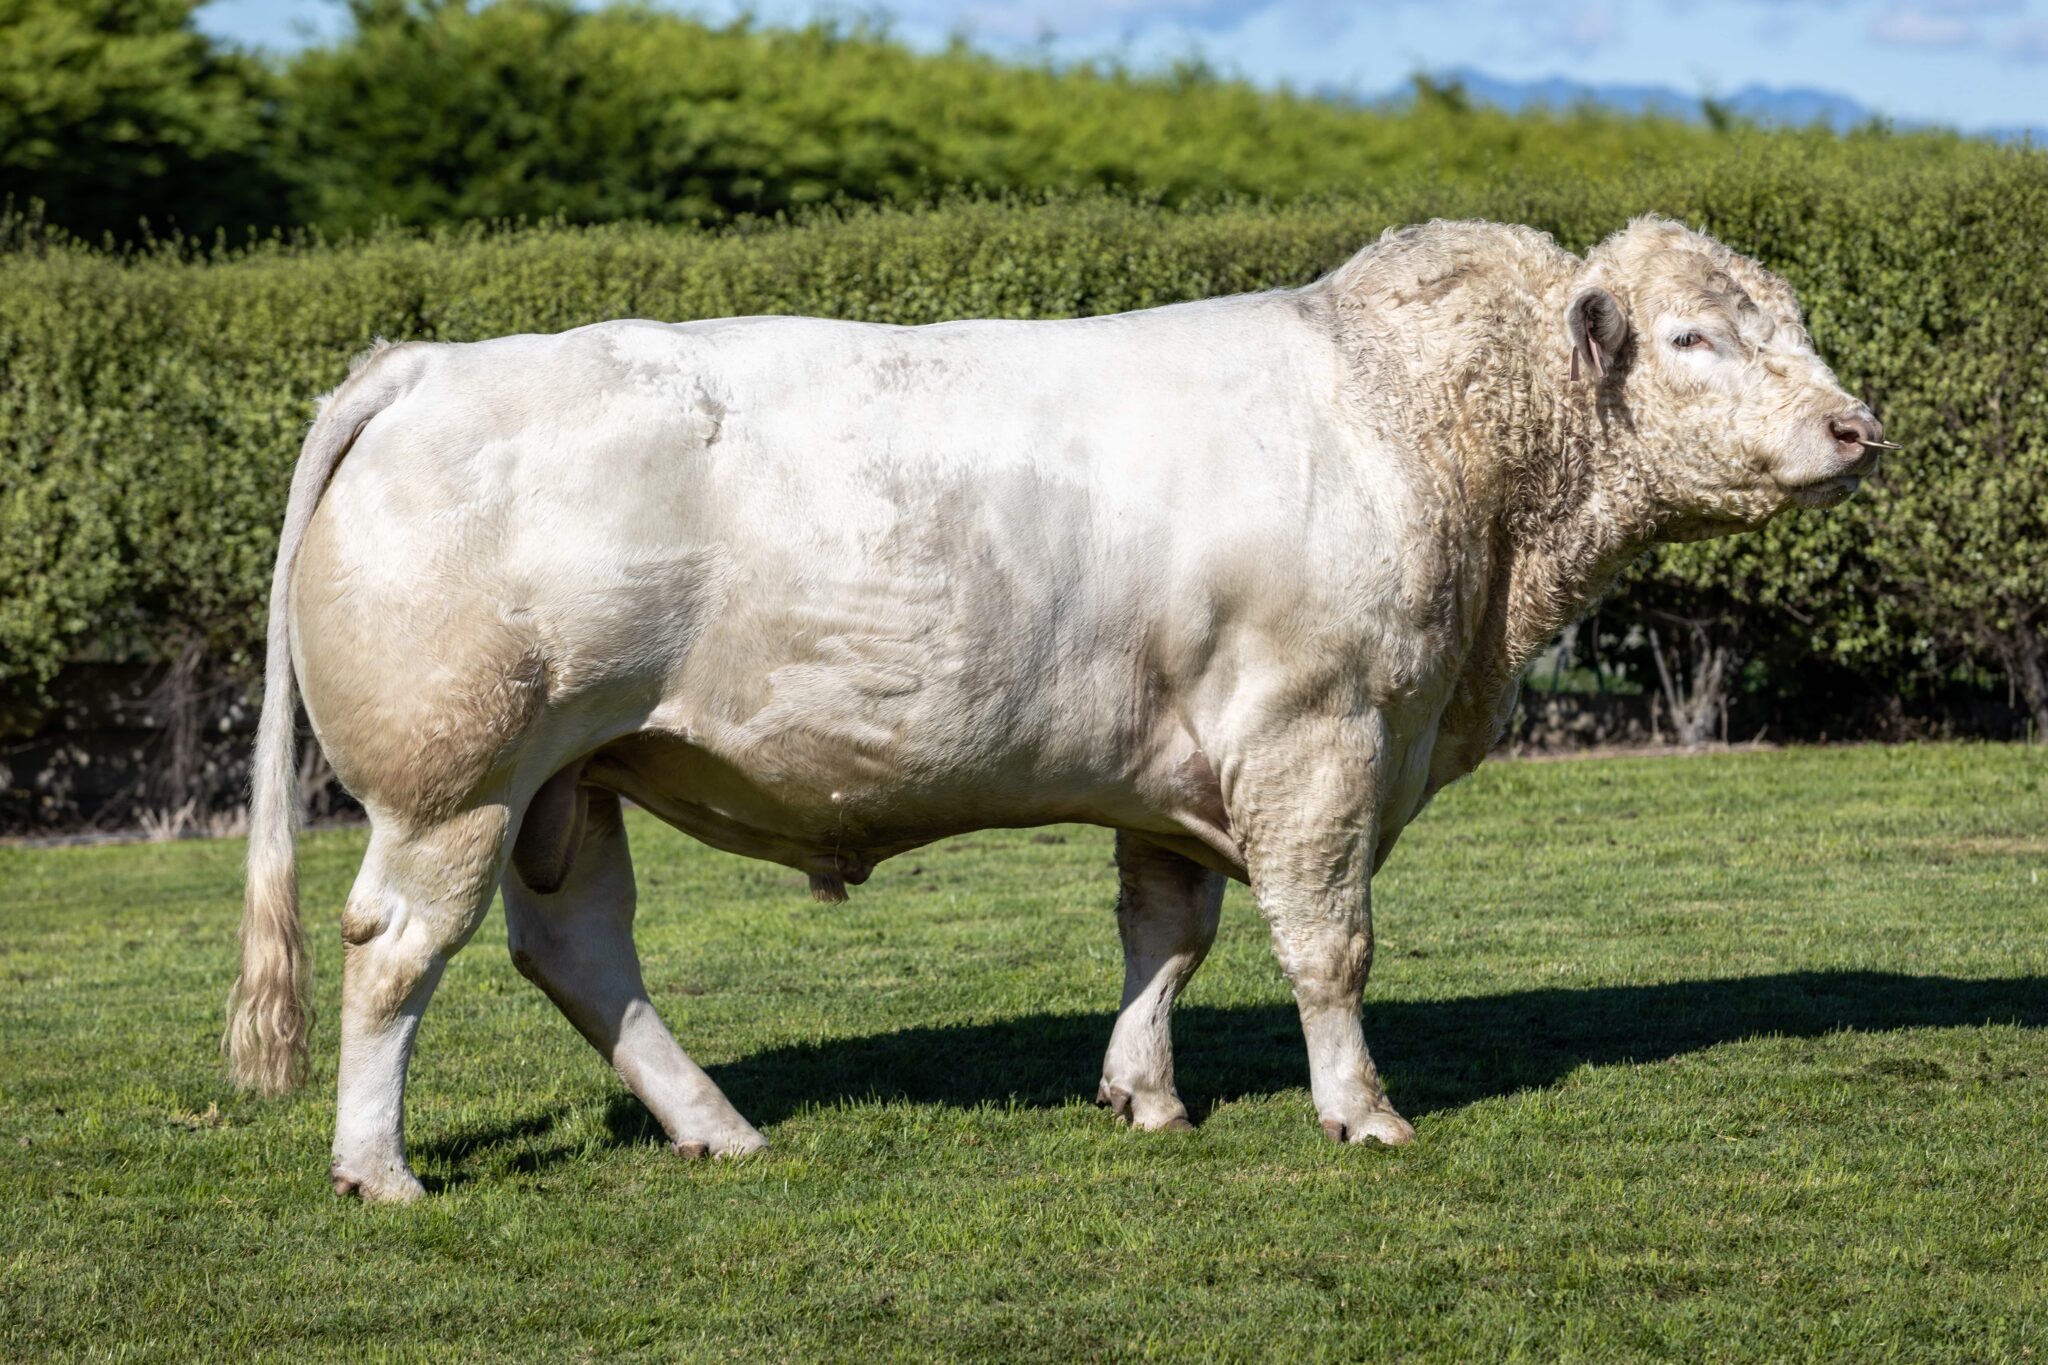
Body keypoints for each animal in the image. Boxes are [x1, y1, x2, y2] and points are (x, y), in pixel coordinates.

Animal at [225, 216, 1885, 1201]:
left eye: (1794, 318)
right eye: (1694, 338)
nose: (1857, 426)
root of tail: (427, 363)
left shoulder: (1183, 763)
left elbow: (1170, 935)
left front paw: (1141, 1095)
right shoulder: (1318, 731)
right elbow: (1327, 941)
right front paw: (1360, 1110)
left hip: (576, 780)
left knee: (579, 952)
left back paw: (717, 1126)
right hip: (458, 776)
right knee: (397, 949)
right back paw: (379, 1169)